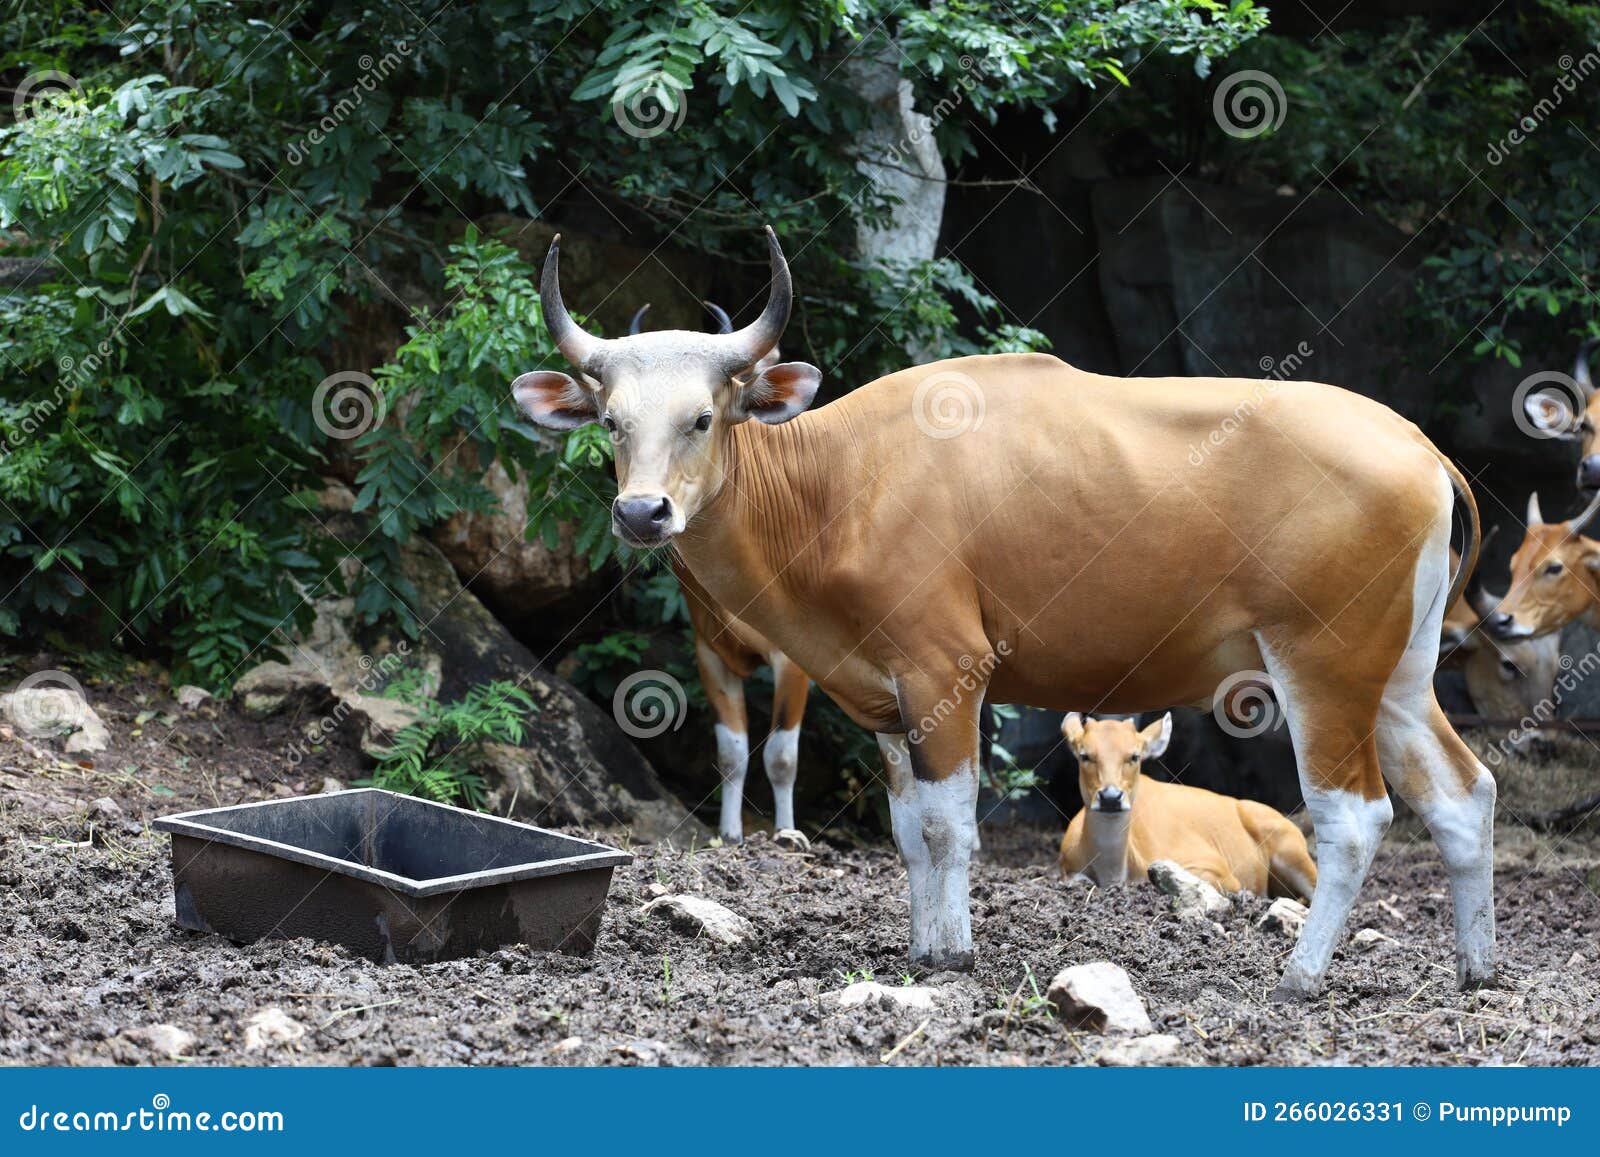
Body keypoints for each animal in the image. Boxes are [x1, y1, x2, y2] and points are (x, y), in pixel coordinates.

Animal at [630, 302, 810, 843]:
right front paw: (729, 833)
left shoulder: (792, 660)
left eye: (703, 419)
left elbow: (782, 754)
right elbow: (731, 753)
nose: (644, 512)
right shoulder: (710, 652)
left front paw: (786, 833)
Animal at [1057, 713, 1317, 901]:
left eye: (1134, 756)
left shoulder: (1219, 870)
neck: (1114, 871)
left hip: (1293, 850)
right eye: (1085, 755)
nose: (1110, 797)